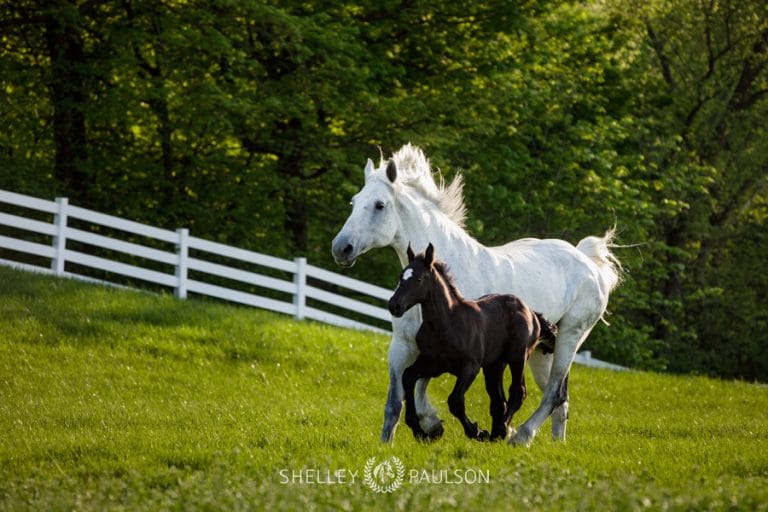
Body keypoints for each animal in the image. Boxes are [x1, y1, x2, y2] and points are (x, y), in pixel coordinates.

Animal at [388, 243, 558, 441]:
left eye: (420, 279)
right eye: (401, 276)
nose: (394, 305)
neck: (446, 324)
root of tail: (531, 313)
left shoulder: (470, 367)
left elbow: (455, 401)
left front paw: (476, 432)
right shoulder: (432, 364)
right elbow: (407, 377)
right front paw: (420, 431)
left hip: (518, 357)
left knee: (518, 392)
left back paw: (501, 430)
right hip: (494, 366)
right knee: (498, 400)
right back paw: (495, 434)